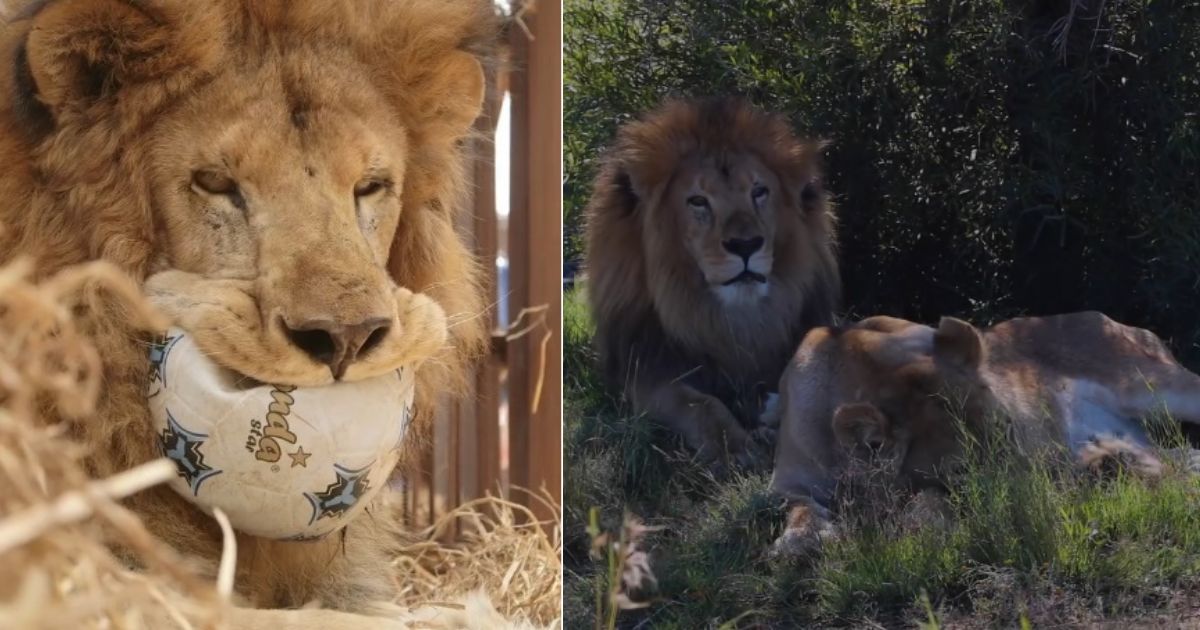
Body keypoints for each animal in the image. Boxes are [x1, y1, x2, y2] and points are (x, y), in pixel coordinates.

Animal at [584, 98, 840, 468]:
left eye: (759, 192)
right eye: (698, 201)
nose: (746, 245)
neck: (730, 320)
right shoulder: (648, 371)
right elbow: (699, 403)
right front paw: (735, 447)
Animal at [769, 311, 1200, 554]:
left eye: (1010, 432)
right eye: (962, 472)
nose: (1045, 497)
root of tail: (1106, 317)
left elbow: (924, 503)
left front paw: (929, 526)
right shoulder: (786, 483)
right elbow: (797, 507)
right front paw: (798, 540)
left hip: (1154, 385)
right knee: (1174, 458)